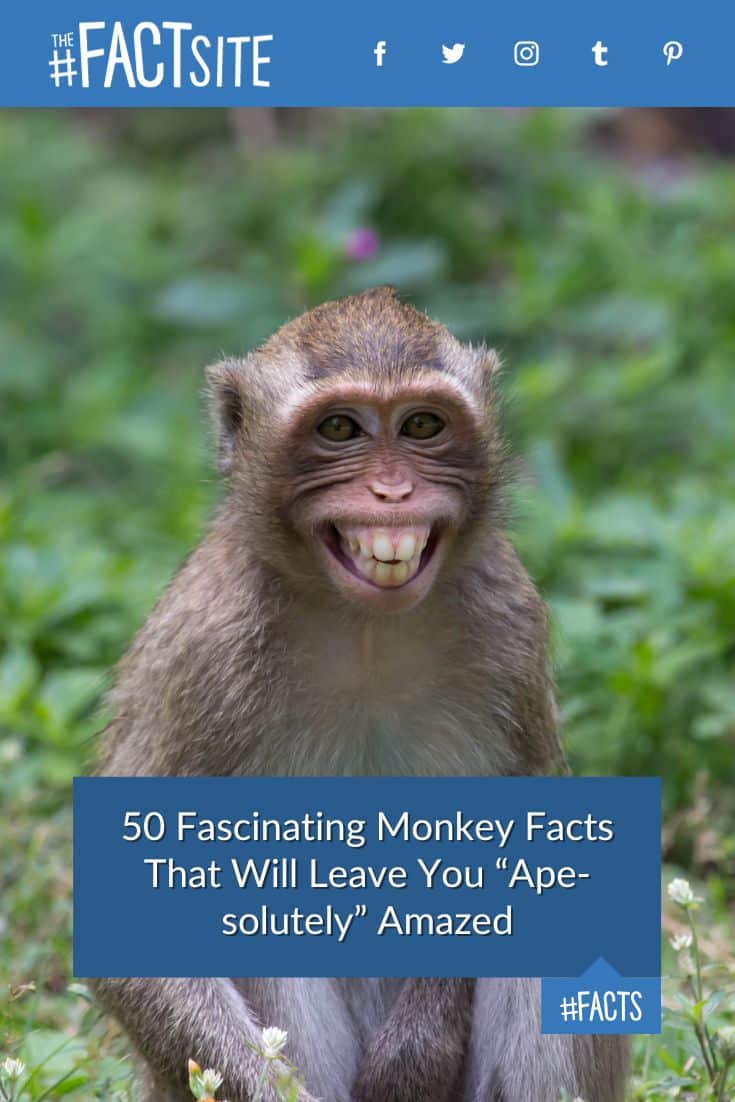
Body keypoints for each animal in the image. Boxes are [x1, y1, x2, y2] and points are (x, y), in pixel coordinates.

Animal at [91, 286, 628, 1102]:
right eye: (339, 428)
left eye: (422, 425)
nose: (392, 490)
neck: (364, 628)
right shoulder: (203, 645)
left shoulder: (510, 621)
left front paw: (417, 1052)